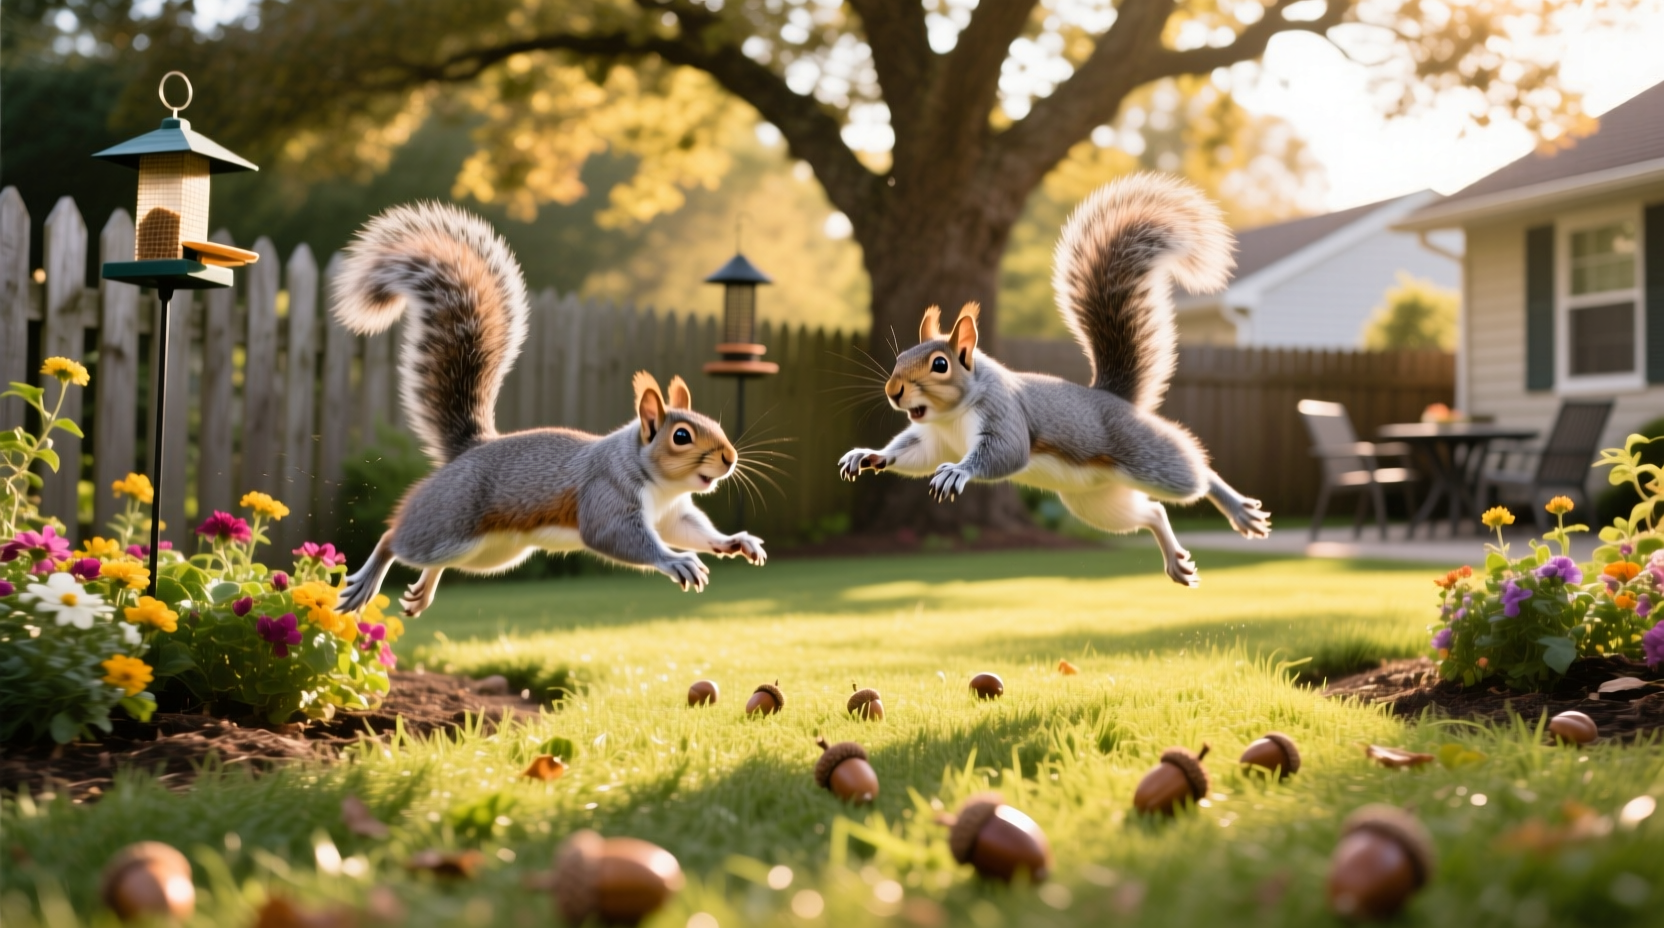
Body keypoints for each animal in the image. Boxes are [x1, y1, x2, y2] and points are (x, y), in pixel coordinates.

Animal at [331, 202, 765, 617]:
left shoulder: (672, 514)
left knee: (438, 560)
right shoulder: (606, 494)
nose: (730, 458)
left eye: (712, 422)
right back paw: (367, 581)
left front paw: (736, 541)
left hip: (492, 553)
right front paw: (677, 561)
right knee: (395, 539)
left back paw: (423, 591)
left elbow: (693, 530)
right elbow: (615, 536)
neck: (661, 486)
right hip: (450, 521)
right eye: (681, 436)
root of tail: (470, 451)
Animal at [837, 173, 1270, 586]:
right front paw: (868, 454)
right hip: (1094, 501)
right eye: (900, 357)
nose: (893, 391)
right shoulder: (933, 439)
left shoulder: (1004, 415)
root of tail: (1115, 399)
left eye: (940, 364)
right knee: (1153, 512)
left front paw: (958, 472)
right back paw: (1176, 561)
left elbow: (1006, 453)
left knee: (1194, 475)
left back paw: (1238, 508)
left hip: (1150, 460)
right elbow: (914, 454)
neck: (951, 417)